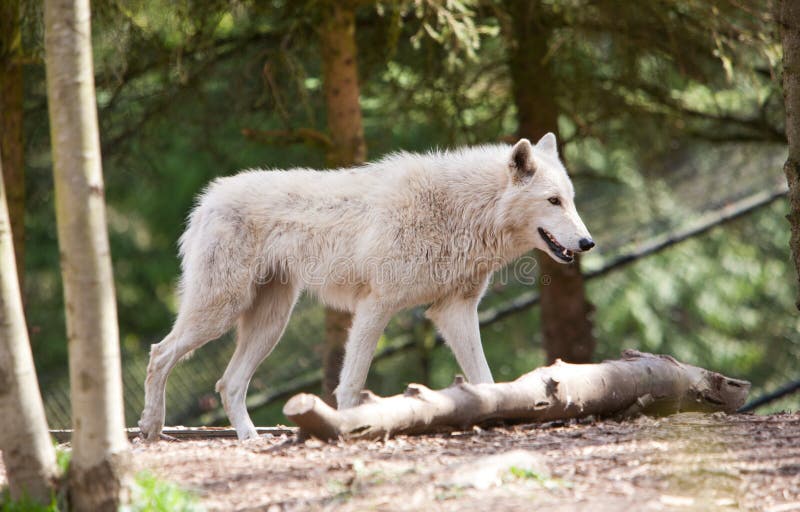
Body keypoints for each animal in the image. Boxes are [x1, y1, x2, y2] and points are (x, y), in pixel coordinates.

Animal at [138, 133, 594, 441]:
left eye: (572, 199)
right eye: (553, 201)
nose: (587, 242)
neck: (462, 211)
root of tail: (207, 198)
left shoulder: (454, 310)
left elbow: (485, 380)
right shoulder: (376, 306)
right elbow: (352, 383)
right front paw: (348, 427)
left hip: (270, 323)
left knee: (228, 383)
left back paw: (249, 441)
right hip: (221, 312)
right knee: (160, 354)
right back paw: (150, 429)